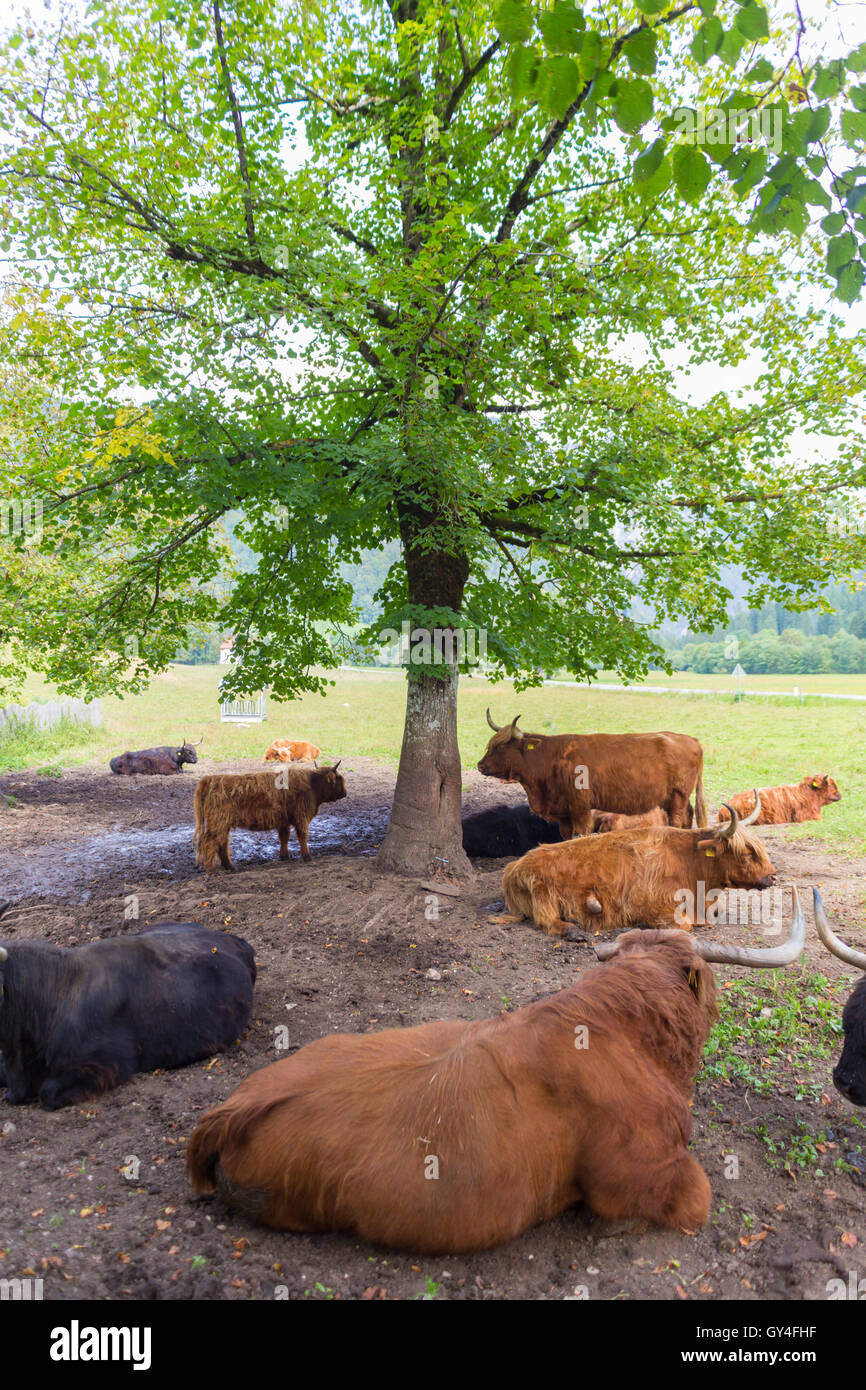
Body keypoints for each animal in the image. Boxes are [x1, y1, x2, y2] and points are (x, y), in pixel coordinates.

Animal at [193, 764, 347, 870]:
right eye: (339, 779)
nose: (345, 793)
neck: (313, 785)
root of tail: (210, 779)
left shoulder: (283, 820)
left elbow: (284, 837)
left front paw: (285, 856)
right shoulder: (301, 816)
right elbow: (302, 836)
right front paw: (307, 856)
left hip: (223, 824)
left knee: (222, 843)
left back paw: (230, 867)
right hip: (218, 822)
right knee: (210, 841)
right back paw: (211, 869)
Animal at [477, 711, 706, 838]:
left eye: (501, 747)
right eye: (491, 744)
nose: (480, 766)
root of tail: (691, 739)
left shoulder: (580, 807)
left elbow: (580, 834)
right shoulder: (564, 814)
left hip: (678, 796)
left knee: (678, 820)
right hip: (672, 798)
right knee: (688, 815)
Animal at [500, 794, 771, 936]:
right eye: (746, 854)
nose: (772, 876)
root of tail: (513, 868)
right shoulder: (658, 909)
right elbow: (683, 925)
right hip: (541, 890)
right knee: (546, 920)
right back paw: (571, 929)